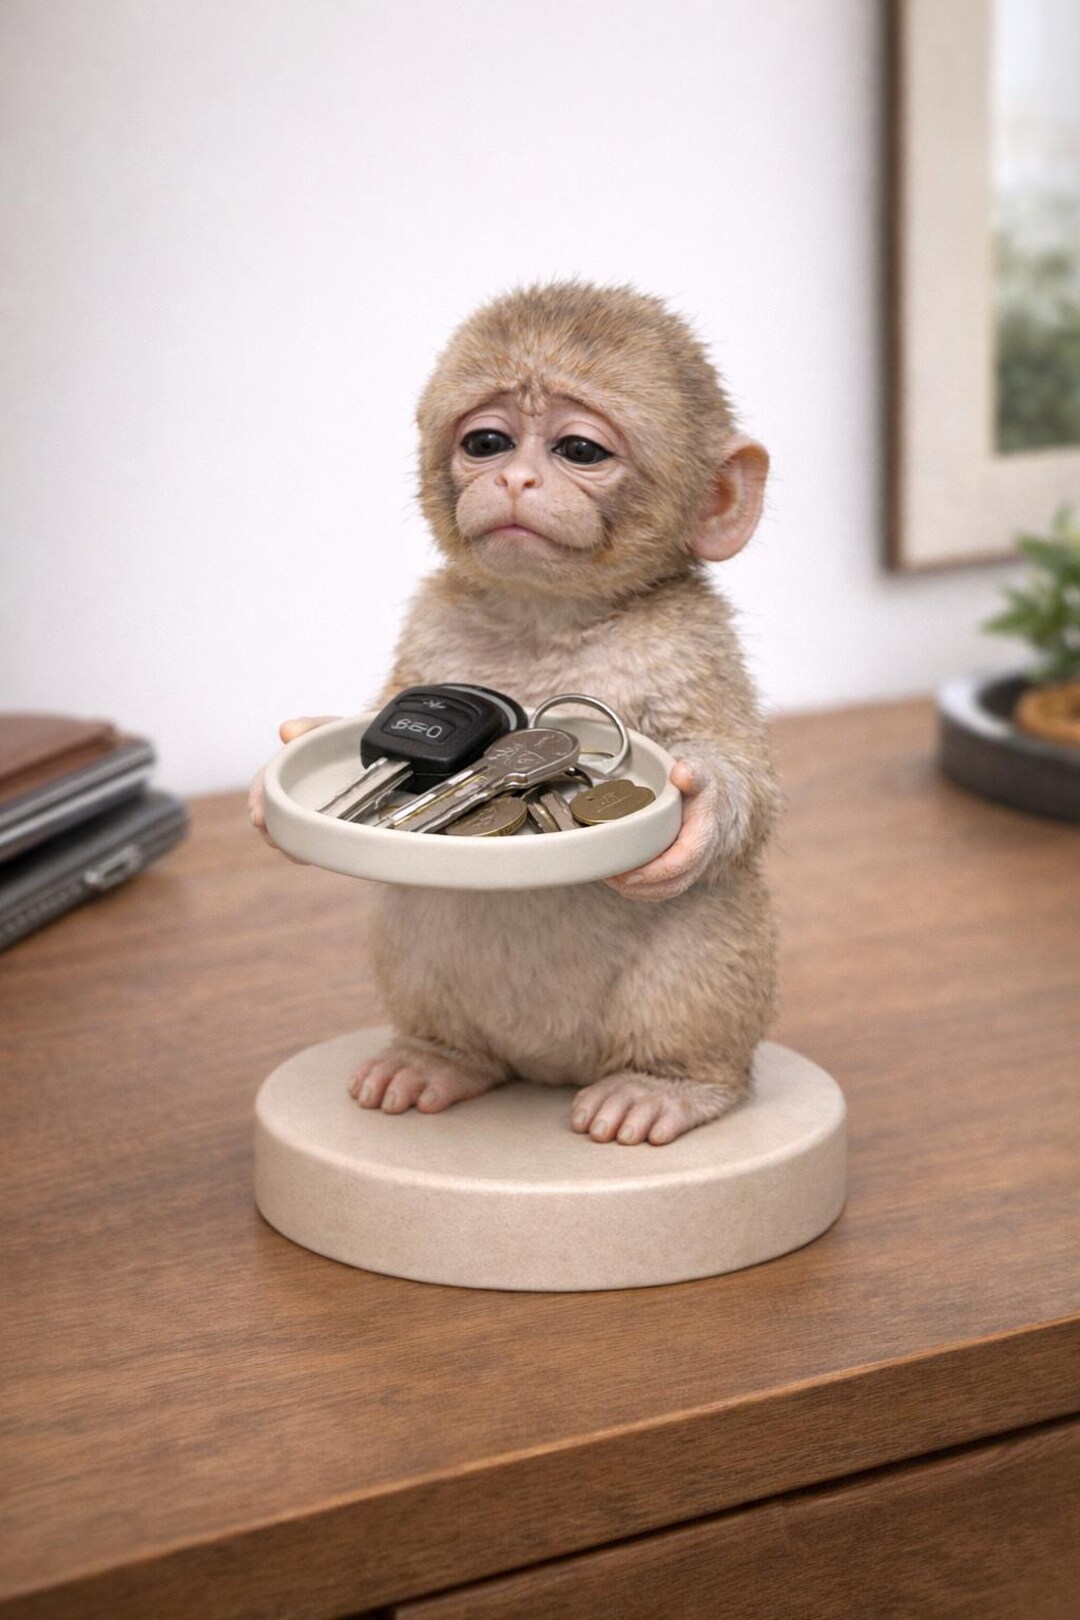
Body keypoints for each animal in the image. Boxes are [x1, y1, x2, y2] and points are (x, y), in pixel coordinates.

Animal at [251, 280, 781, 1146]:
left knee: (702, 950)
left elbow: (744, 781)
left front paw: (699, 801)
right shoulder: (431, 629)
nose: (515, 481)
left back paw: (670, 1085)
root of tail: (548, 1067)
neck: (545, 623)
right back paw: (438, 1059)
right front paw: (292, 756)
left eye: (579, 453)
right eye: (488, 441)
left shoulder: (690, 640)